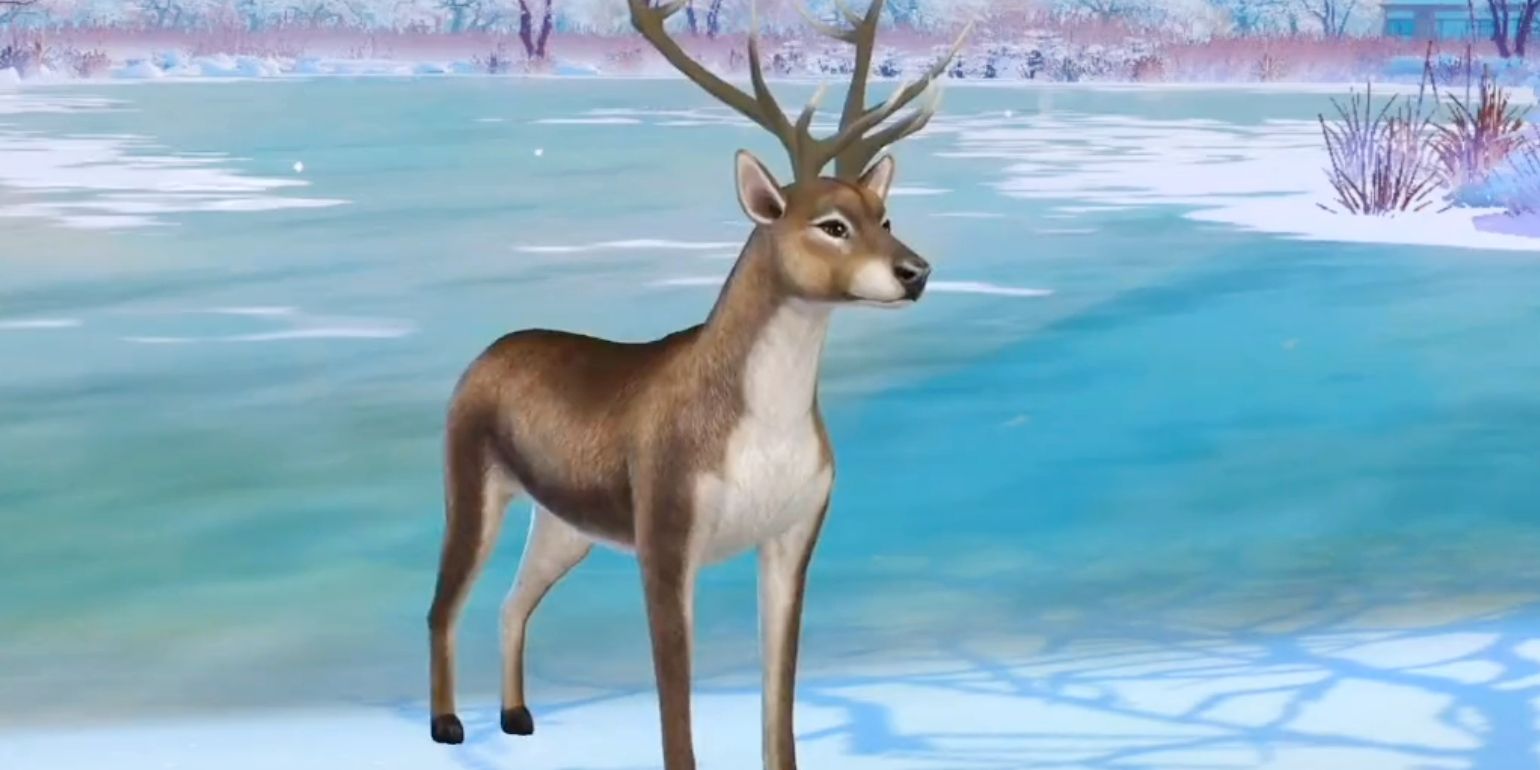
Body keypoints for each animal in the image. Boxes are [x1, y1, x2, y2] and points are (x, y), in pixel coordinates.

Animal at [426, 1, 968, 768]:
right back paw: (447, 724)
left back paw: (517, 714)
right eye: (831, 225)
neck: (762, 430)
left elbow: (780, 692)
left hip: (565, 525)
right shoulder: (665, 530)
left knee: (511, 600)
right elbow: (675, 696)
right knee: (443, 602)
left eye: (884, 215)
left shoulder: (795, 533)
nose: (915, 271)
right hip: (471, 480)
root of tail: (485, 354)